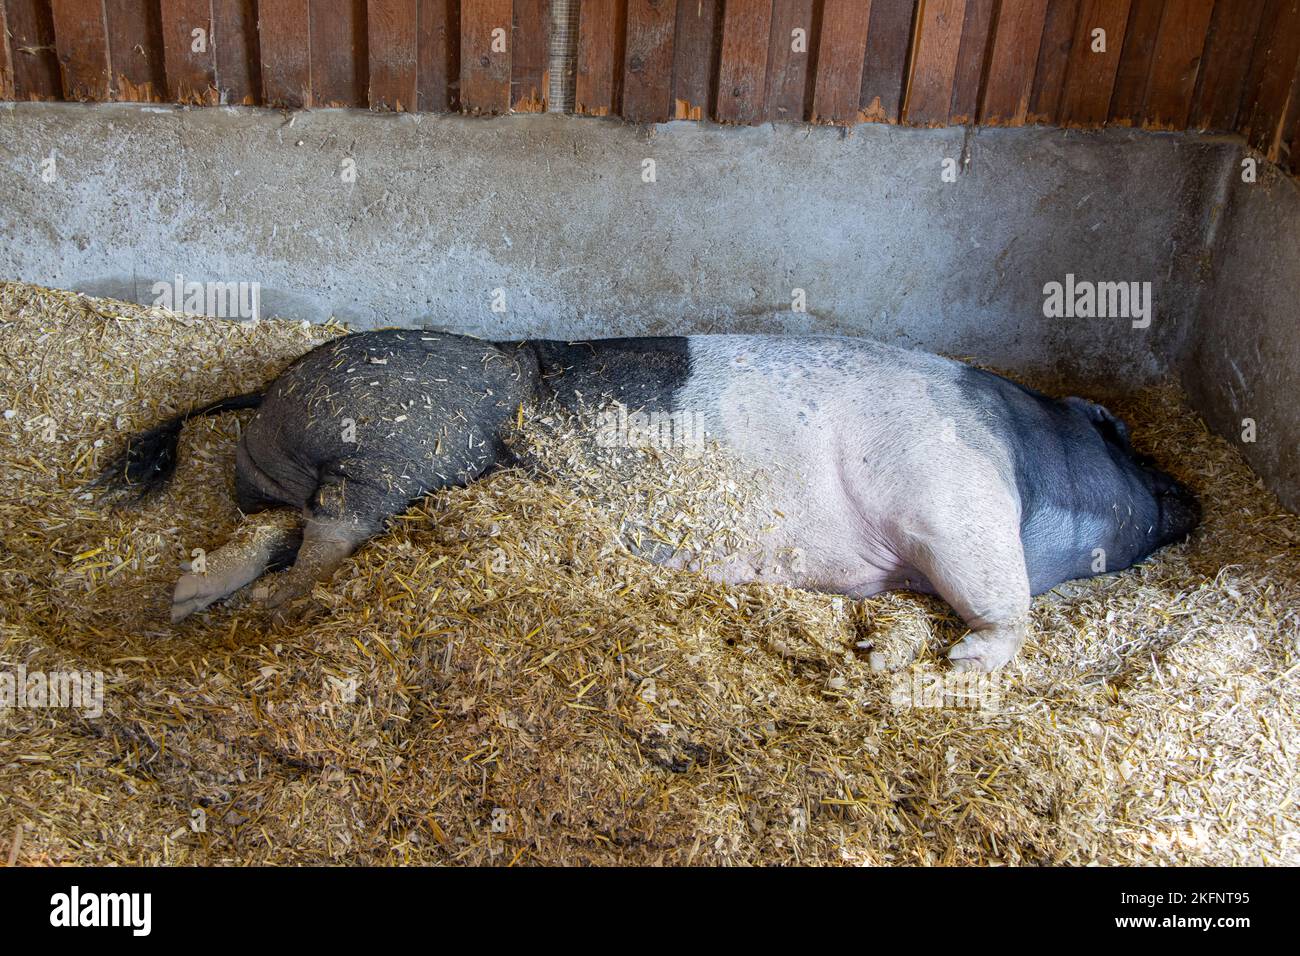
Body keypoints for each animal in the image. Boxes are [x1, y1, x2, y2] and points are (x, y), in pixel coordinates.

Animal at [100, 330, 1200, 671]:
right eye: (1122, 440)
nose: (1191, 494)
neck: (1025, 458)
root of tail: (273, 386)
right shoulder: (951, 491)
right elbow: (1000, 599)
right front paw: (964, 661)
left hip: (314, 476)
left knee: (269, 526)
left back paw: (189, 600)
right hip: (393, 460)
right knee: (321, 539)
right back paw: (268, 609)